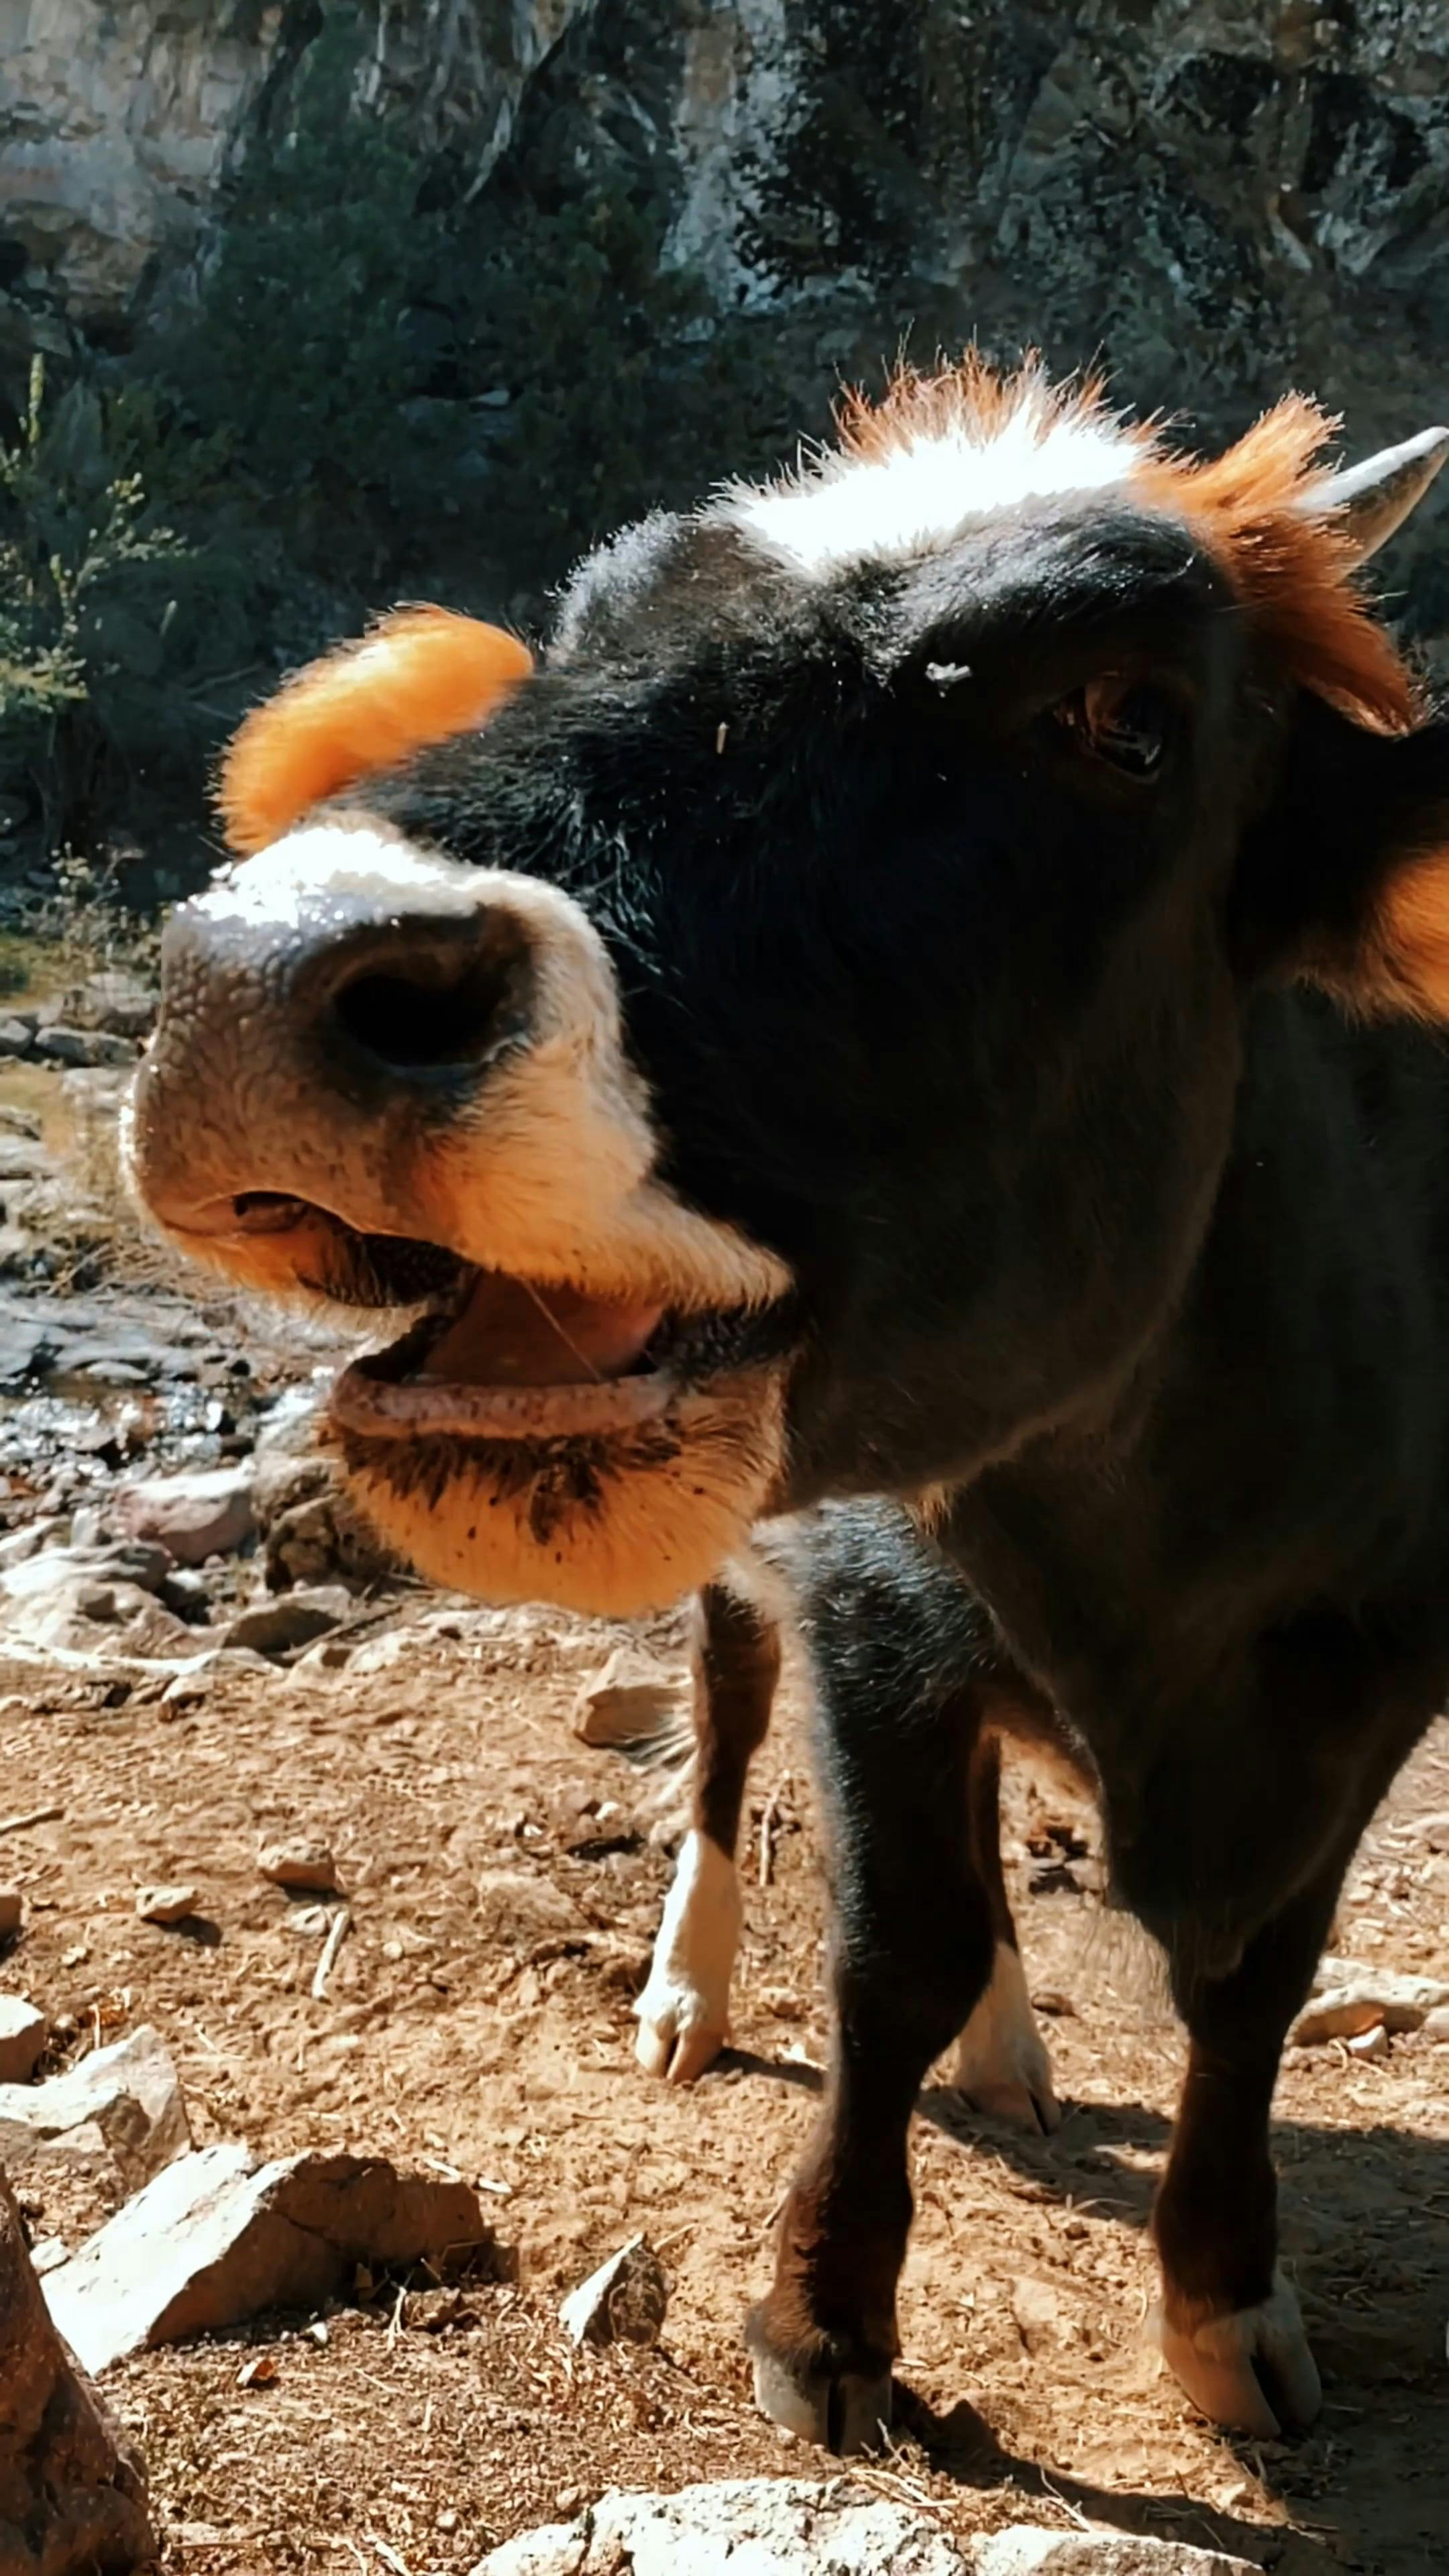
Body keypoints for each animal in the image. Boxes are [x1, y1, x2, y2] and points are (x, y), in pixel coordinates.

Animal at [123, 357, 1449, 2455]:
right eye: (585, 632)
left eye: (1125, 718)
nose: (250, 985)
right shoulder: (869, 1606)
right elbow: (889, 1952)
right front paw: (826, 2316)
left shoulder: (1379, 1675)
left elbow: (1254, 1980)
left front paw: (1225, 2304)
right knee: (737, 1738)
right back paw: (694, 1987)